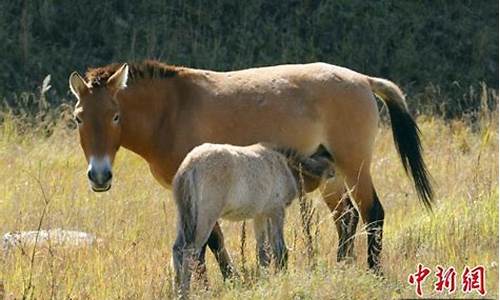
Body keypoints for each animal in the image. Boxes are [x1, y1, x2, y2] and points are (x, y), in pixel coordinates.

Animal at [68, 60, 432, 276]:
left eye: (116, 116)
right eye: (79, 117)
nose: (99, 176)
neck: (171, 111)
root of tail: (362, 80)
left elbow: (208, 243)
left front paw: (221, 281)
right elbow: (210, 243)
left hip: (355, 166)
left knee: (372, 213)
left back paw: (373, 271)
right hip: (334, 177)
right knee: (346, 217)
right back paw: (342, 265)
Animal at [174, 143, 334, 296]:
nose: (333, 174)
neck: (285, 164)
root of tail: (189, 167)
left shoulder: (261, 215)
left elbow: (263, 253)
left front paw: (265, 282)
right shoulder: (277, 211)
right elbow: (280, 250)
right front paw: (282, 280)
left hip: (185, 217)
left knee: (177, 249)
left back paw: (177, 290)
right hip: (206, 218)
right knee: (190, 251)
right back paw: (185, 292)